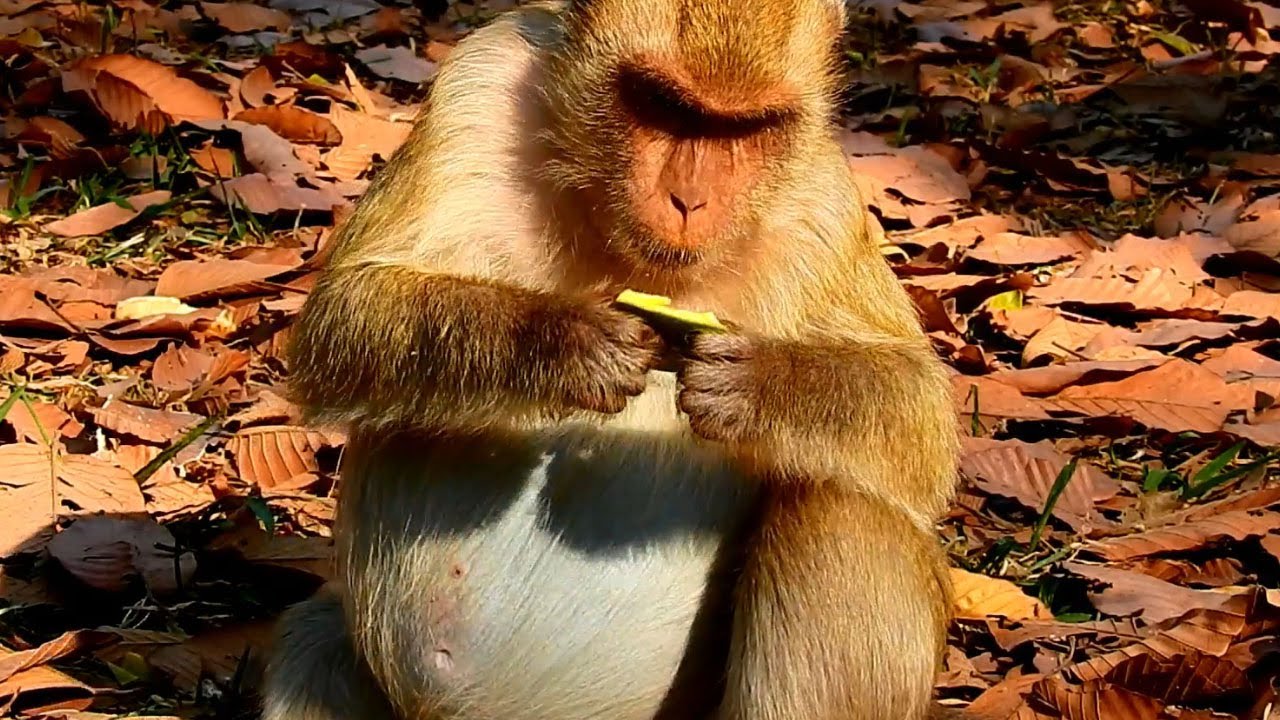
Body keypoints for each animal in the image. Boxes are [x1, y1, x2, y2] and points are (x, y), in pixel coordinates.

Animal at [263, 0, 960, 719]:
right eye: (661, 104)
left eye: (747, 126)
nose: (689, 201)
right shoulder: (480, 78)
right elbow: (345, 311)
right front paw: (564, 341)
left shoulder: (817, 188)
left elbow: (920, 413)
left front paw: (755, 385)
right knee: (312, 641)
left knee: (844, 511)